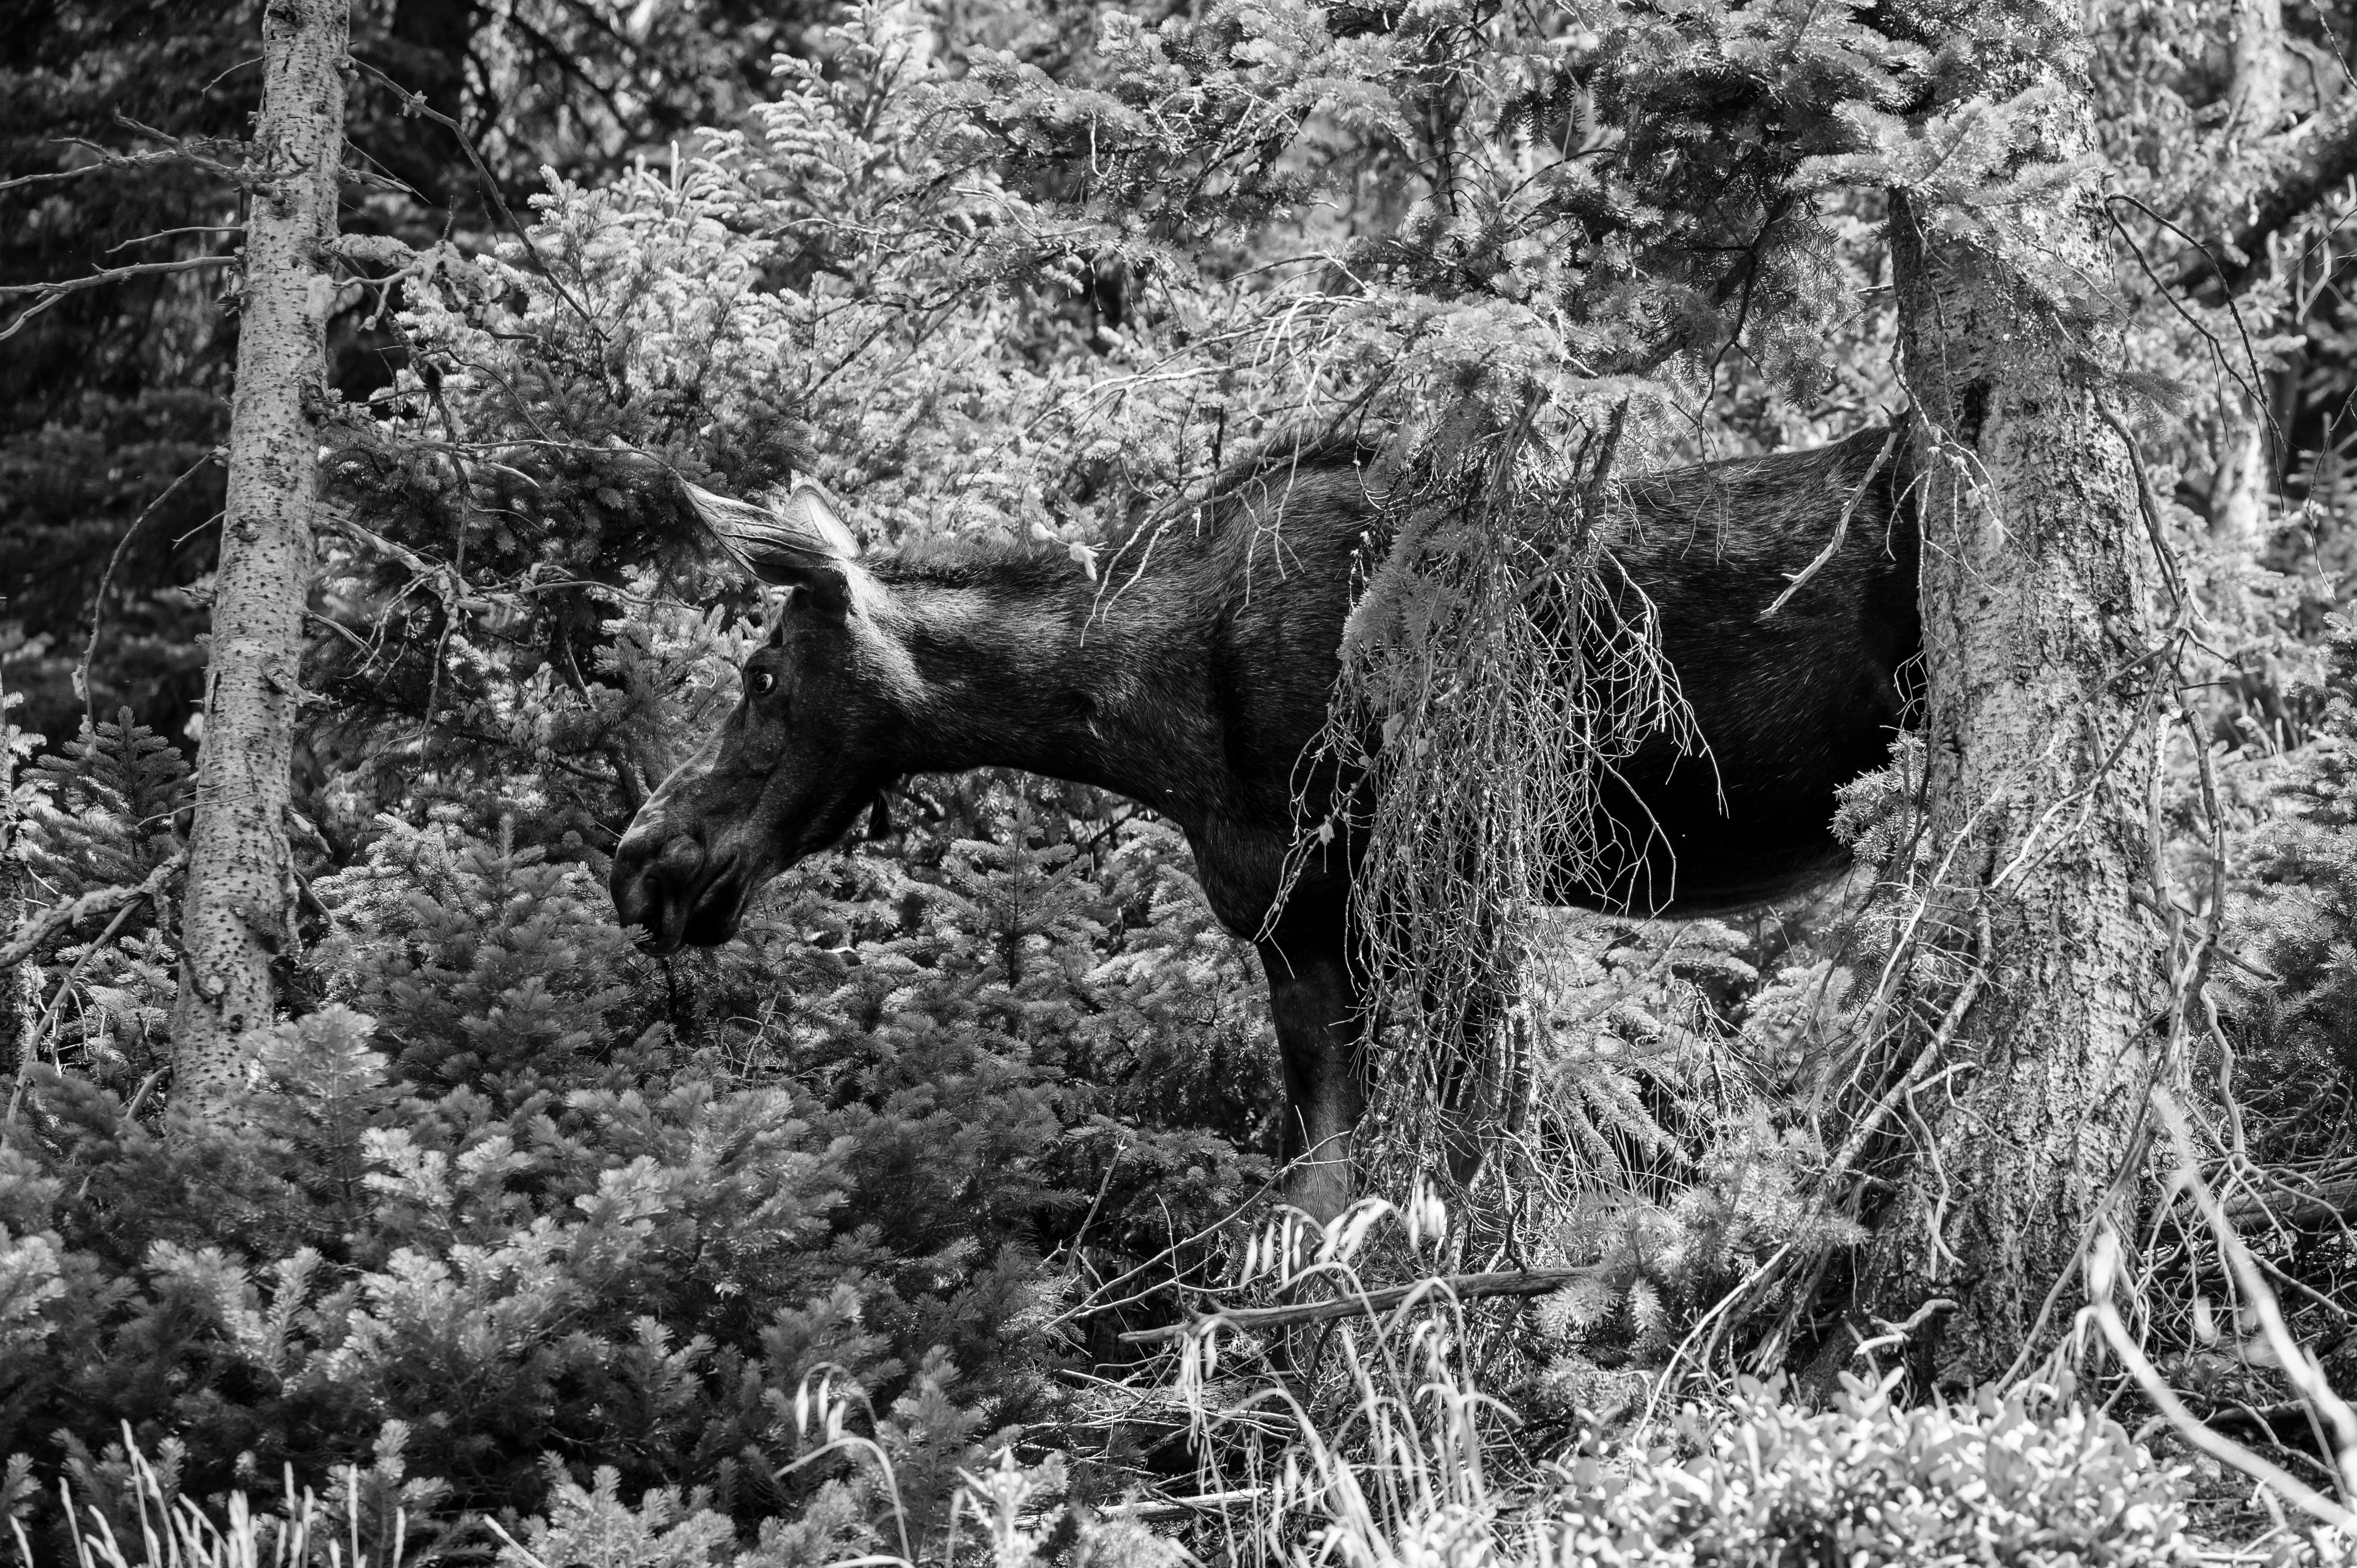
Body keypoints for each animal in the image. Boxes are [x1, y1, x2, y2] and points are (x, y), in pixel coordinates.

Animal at [609, 427, 1920, 1222]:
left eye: (761, 672)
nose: (641, 860)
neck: (1146, 711)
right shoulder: (1335, 916)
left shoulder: (1359, 892)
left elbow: (1371, 1182)